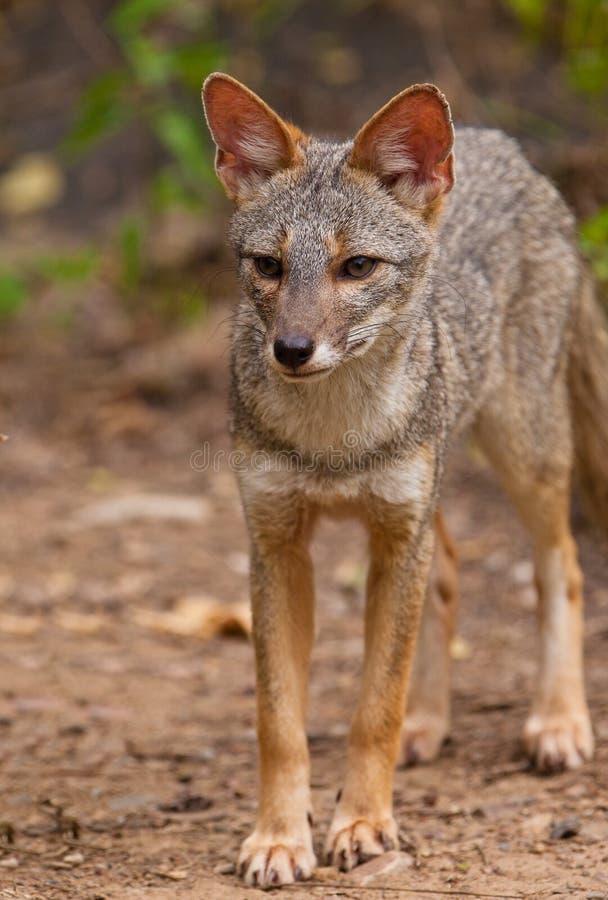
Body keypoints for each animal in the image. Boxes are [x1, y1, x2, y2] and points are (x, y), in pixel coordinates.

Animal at [201, 73, 608, 888]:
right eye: (268, 266)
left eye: (356, 267)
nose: (293, 349)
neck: (333, 441)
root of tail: (503, 144)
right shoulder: (277, 545)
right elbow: (280, 722)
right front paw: (278, 838)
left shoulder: (395, 532)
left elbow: (373, 708)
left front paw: (363, 824)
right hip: (435, 498)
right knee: (447, 574)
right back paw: (432, 724)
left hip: (522, 455)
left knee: (564, 568)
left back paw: (558, 721)